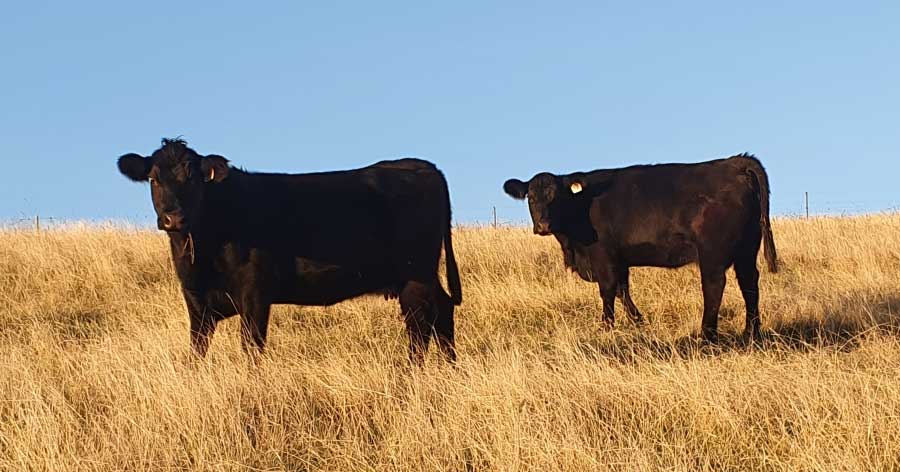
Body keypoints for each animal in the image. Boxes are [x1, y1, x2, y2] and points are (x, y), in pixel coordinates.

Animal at [117, 138, 462, 363]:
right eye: (153, 178)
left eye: (194, 179)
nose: (174, 218)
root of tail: (422, 166)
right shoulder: (196, 301)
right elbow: (196, 352)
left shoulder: (255, 294)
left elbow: (251, 348)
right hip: (421, 276)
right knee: (442, 311)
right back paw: (449, 368)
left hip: (415, 275)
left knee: (420, 327)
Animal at [503, 154, 777, 342]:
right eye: (530, 197)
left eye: (556, 196)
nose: (543, 225)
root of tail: (734, 162)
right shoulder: (619, 259)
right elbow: (623, 291)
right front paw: (638, 321)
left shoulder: (603, 255)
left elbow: (608, 291)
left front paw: (606, 327)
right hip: (746, 249)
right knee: (749, 284)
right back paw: (751, 332)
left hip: (713, 252)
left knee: (713, 286)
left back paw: (706, 334)